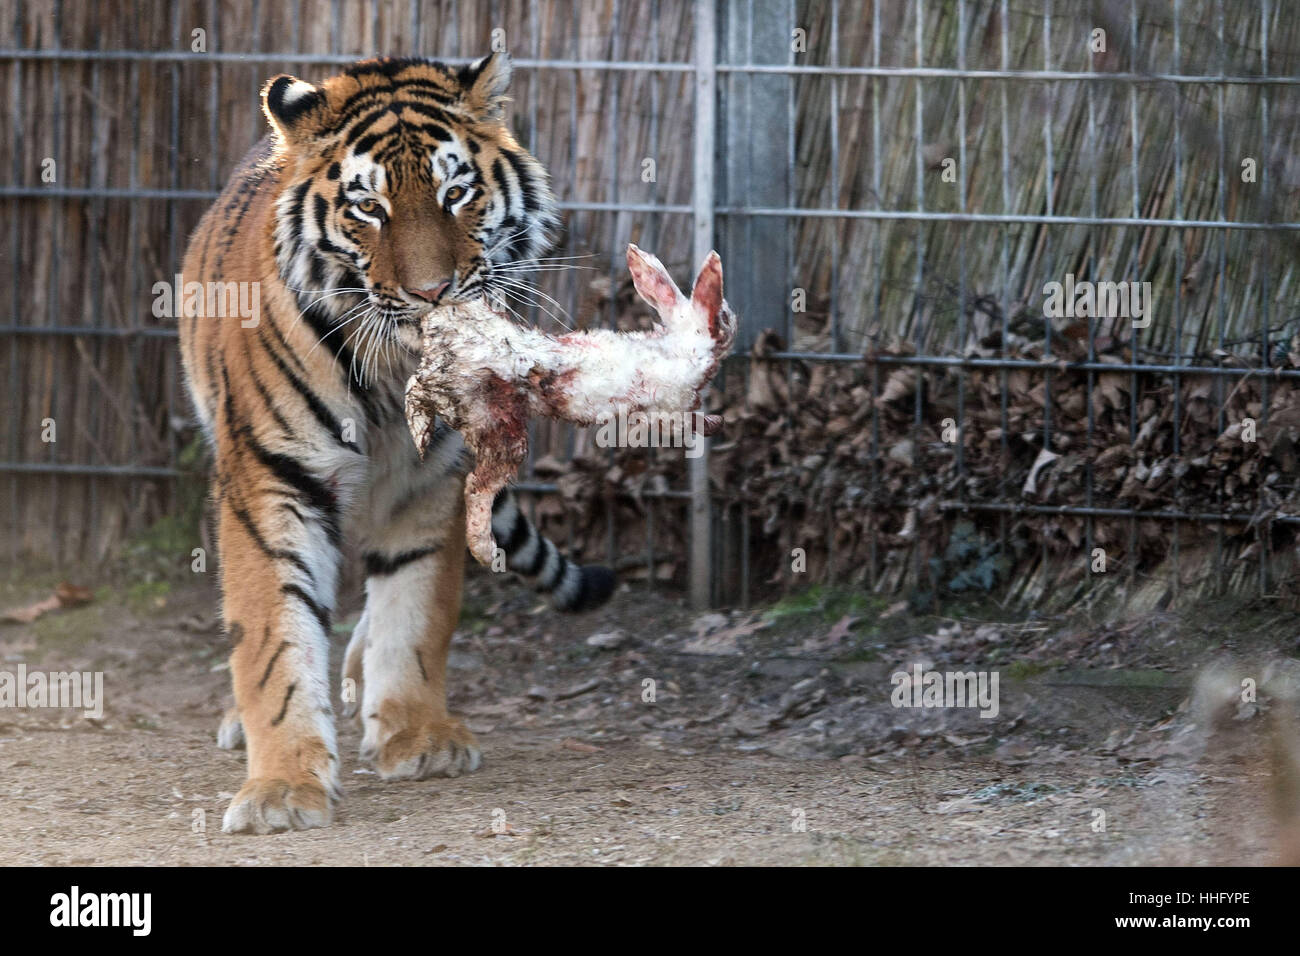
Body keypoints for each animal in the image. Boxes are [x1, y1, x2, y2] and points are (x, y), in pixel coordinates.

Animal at [178, 54, 615, 834]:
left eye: (456, 192)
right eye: (368, 208)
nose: (433, 292)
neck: (390, 376)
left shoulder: (434, 478)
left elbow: (414, 613)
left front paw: (418, 736)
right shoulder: (271, 478)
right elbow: (272, 632)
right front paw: (281, 787)